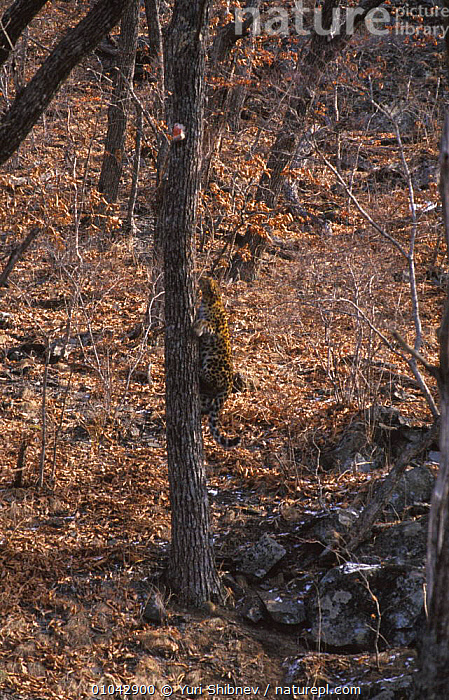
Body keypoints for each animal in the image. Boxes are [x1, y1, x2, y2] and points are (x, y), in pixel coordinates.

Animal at [194, 276, 240, 448]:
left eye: (206, 280)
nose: (200, 277)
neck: (209, 300)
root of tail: (230, 384)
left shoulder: (215, 329)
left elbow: (205, 324)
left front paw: (196, 327)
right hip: (208, 396)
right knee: (207, 407)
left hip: (213, 361)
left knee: (211, 378)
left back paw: (197, 369)